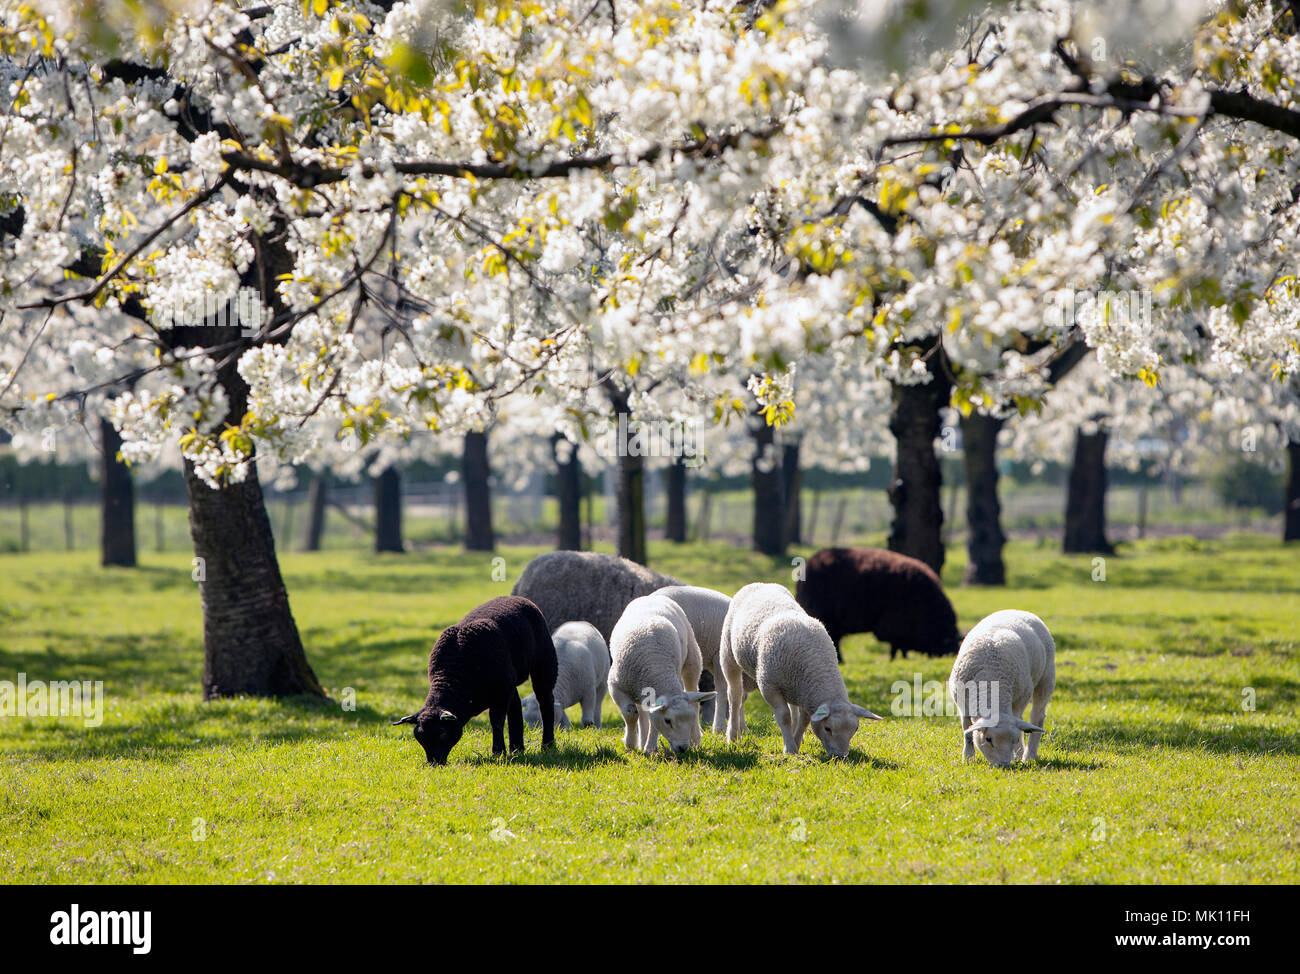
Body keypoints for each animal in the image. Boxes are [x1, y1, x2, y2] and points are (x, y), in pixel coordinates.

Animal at [392, 595, 558, 764]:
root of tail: (516, 598)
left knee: (545, 701)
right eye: (420, 738)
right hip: (510, 680)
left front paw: (498, 752)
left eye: (442, 735)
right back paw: (517, 749)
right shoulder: (503, 688)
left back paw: (548, 745)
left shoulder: (501, 693)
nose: (434, 763)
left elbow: (496, 721)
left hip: (544, 662)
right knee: (516, 706)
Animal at [607, 593, 716, 755]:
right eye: (668, 721)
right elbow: (630, 713)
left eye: (690, 719)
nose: (683, 748)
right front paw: (631, 744)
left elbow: (653, 719)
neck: (657, 669)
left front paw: (650, 749)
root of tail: (651, 596)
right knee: (641, 712)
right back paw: (641, 741)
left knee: (695, 699)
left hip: (692, 659)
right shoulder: (615, 686)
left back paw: (696, 739)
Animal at [720, 582, 882, 758]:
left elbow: (804, 720)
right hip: (728, 655)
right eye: (828, 728)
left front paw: (796, 742)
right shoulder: (769, 686)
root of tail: (760, 584)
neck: (817, 664)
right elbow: (784, 716)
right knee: (735, 697)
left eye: (855, 729)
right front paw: (790, 749)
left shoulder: (806, 693)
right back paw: (733, 736)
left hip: (793, 687)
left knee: (792, 710)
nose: (840, 756)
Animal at [795, 546, 961, 662]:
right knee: (834, 641)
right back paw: (841, 661)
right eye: (948, 643)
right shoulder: (895, 624)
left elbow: (901, 646)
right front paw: (896, 660)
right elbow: (897, 646)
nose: (951, 657)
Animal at [947, 609, 1055, 768]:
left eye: (1014, 740)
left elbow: (1019, 722)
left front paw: (1018, 754)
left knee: (1037, 716)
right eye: (988, 739)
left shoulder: (1020, 699)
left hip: (1046, 678)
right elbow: (967, 732)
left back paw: (1029, 755)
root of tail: (1017, 610)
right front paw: (968, 759)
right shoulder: (962, 704)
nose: (1004, 765)